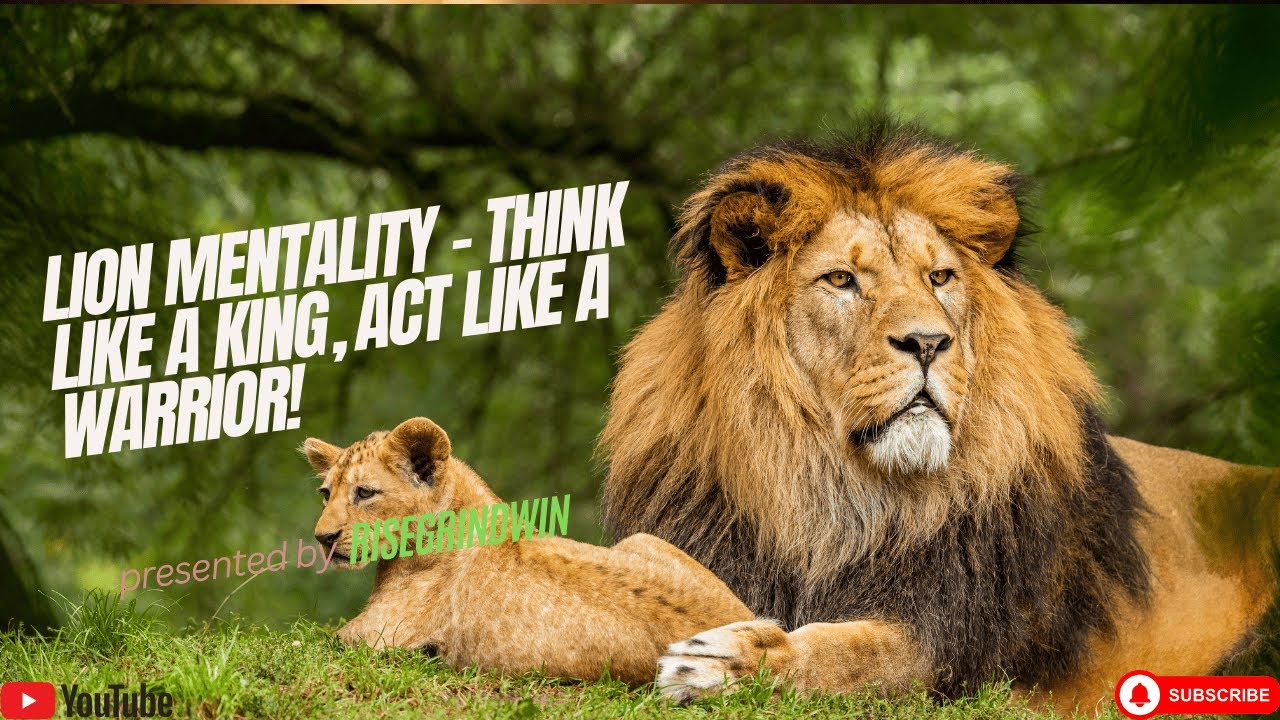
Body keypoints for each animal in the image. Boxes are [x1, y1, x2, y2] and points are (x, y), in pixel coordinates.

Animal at [303, 416, 754, 685]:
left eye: (365, 493)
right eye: (325, 494)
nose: (323, 537)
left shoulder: (371, 636)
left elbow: (314, 642)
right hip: (641, 538)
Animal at [599, 121, 1280, 714]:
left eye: (940, 276)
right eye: (841, 279)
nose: (928, 342)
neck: (833, 497)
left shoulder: (960, 644)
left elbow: (851, 654)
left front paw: (729, 663)